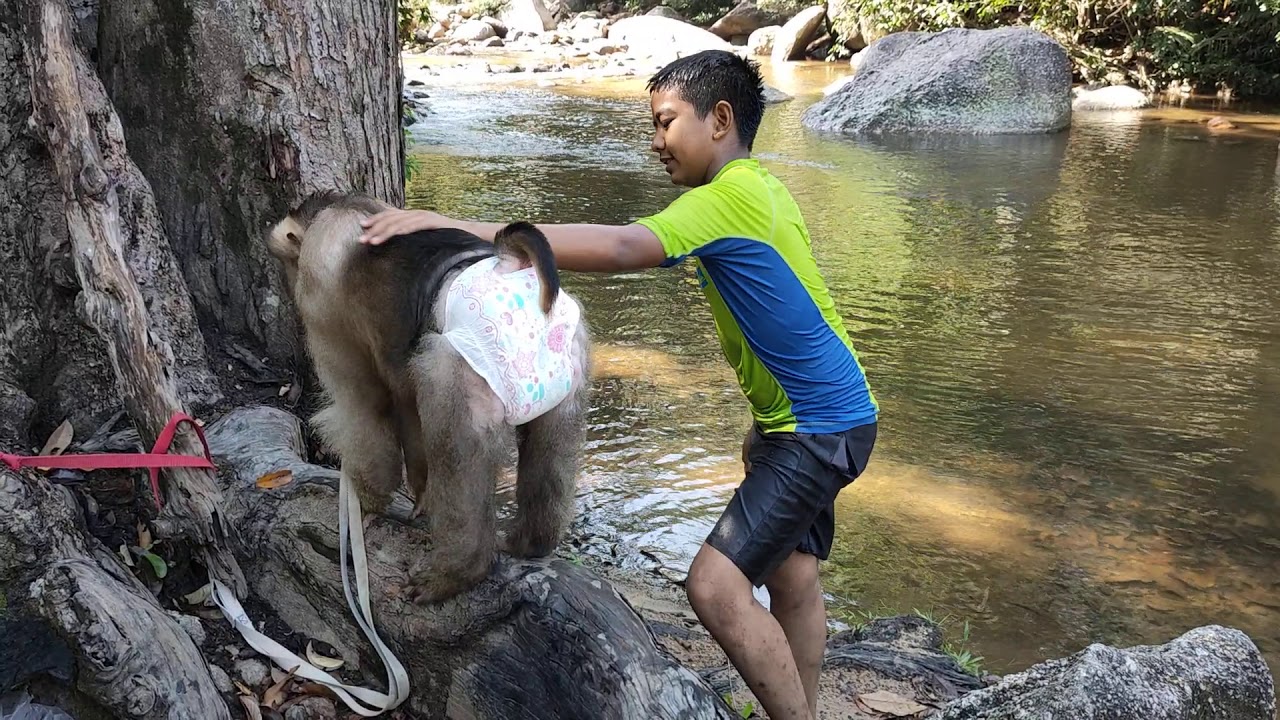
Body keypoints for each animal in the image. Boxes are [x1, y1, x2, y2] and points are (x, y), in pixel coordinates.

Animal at [265, 190, 592, 604]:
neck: (336, 209)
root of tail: (510, 267)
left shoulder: (341, 343)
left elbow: (367, 419)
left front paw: (368, 500)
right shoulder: (403, 380)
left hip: (453, 384)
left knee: (461, 488)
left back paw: (450, 575)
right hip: (562, 399)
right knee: (548, 473)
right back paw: (529, 541)